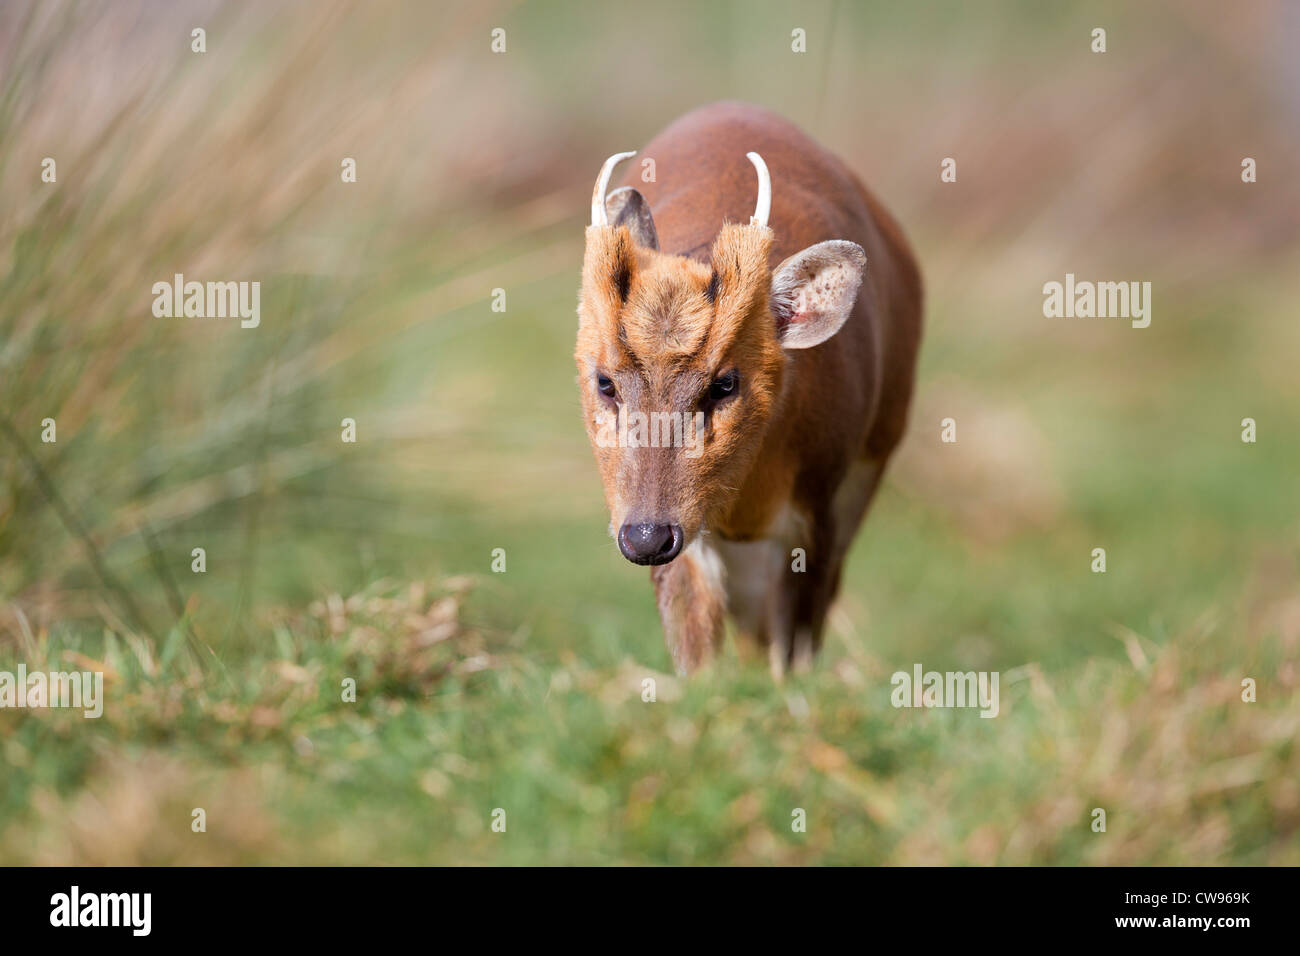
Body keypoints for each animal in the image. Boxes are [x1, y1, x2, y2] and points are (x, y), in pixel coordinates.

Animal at [575, 102, 922, 679]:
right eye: (605, 382)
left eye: (724, 383)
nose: (645, 537)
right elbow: (693, 641)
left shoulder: (819, 504)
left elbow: (798, 635)